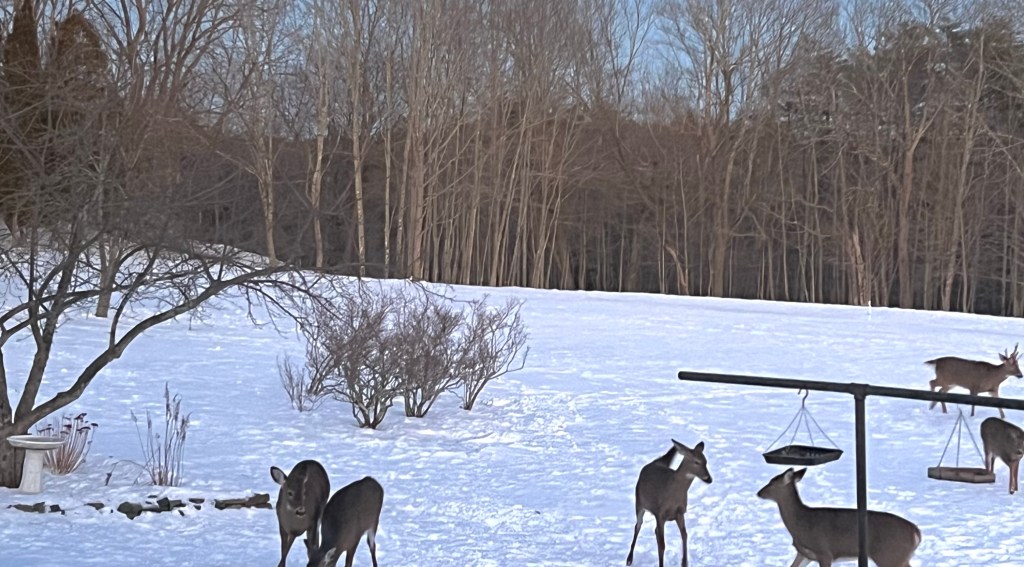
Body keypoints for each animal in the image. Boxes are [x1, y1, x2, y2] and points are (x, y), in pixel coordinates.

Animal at [757, 467, 921, 567]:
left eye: (772, 482)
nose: (759, 492)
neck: (800, 523)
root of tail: (916, 533)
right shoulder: (804, 553)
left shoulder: (824, 552)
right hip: (899, 557)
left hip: (890, 555)